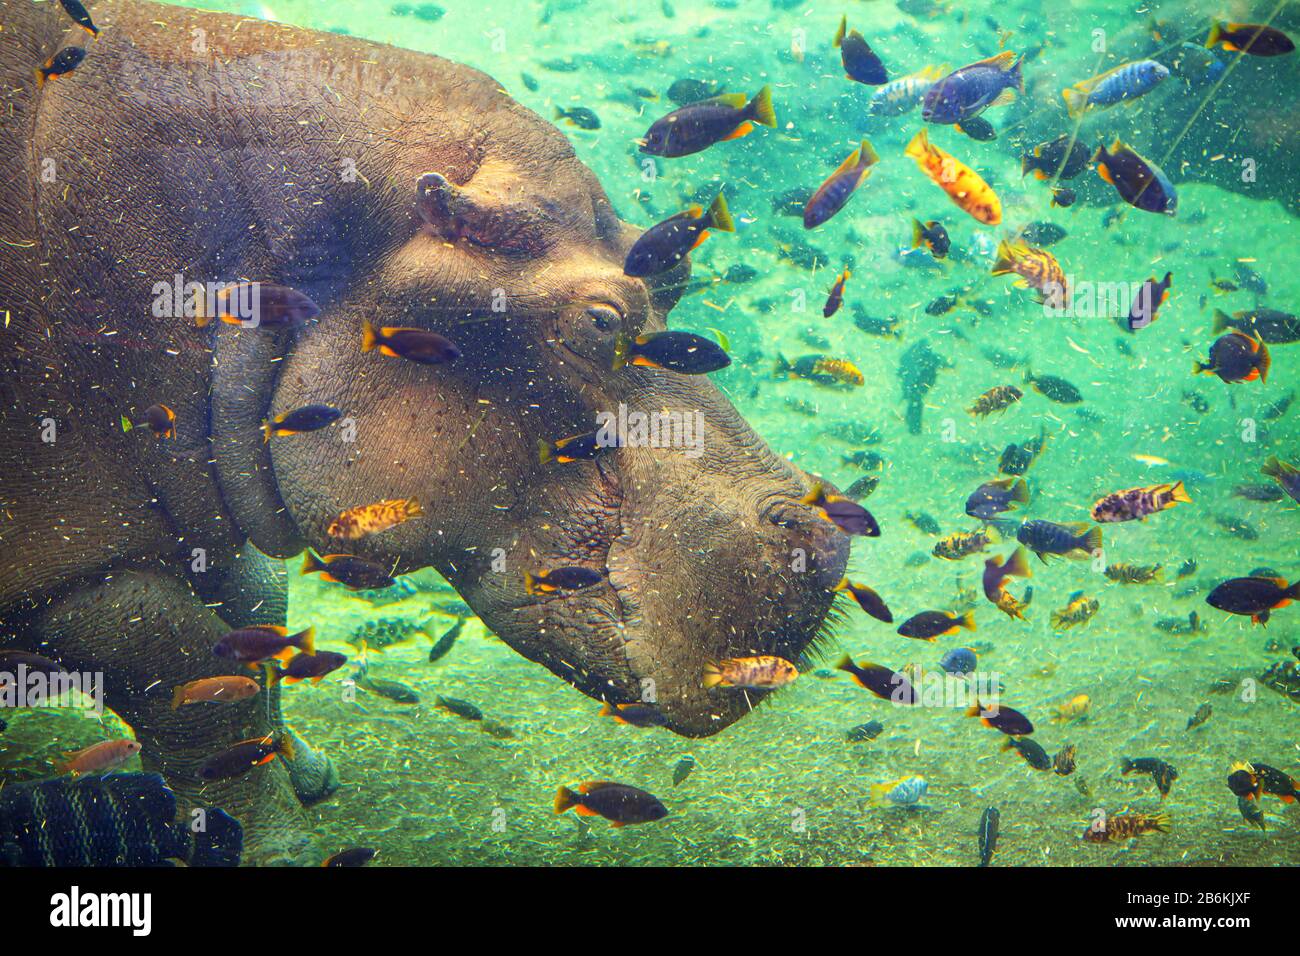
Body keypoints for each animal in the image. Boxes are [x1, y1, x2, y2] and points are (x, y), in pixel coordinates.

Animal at [0, 0, 850, 863]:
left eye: (675, 270)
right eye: (600, 322)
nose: (829, 537)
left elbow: (256, 615)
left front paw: (312, 770)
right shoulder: (69, 569)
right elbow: (197, 694)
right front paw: (278, 842)